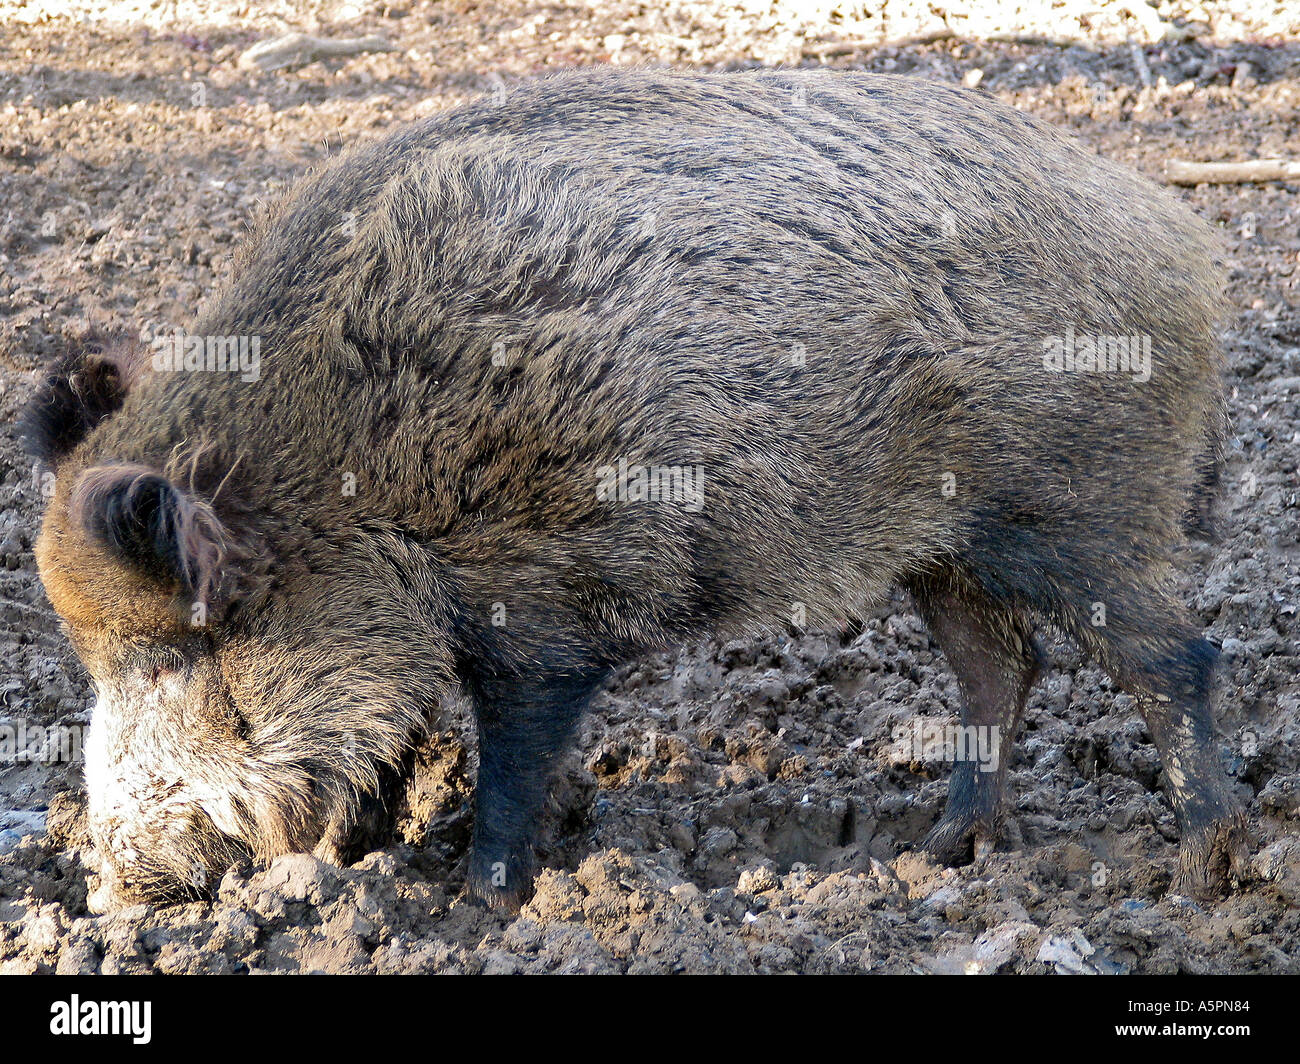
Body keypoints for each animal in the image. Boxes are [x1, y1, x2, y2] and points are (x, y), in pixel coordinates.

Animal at [22, 68, 1249, 912]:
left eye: (181, 651)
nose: (114, 893)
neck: (338, 478)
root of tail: (1183, 242)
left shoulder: (543, 607)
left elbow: (513, 759)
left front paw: (482, 900)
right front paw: (358, 865)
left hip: (1086, 509)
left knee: (1172, 659)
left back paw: (1197, 874)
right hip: (942, 545)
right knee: (1002, 665)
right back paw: (944, 852)